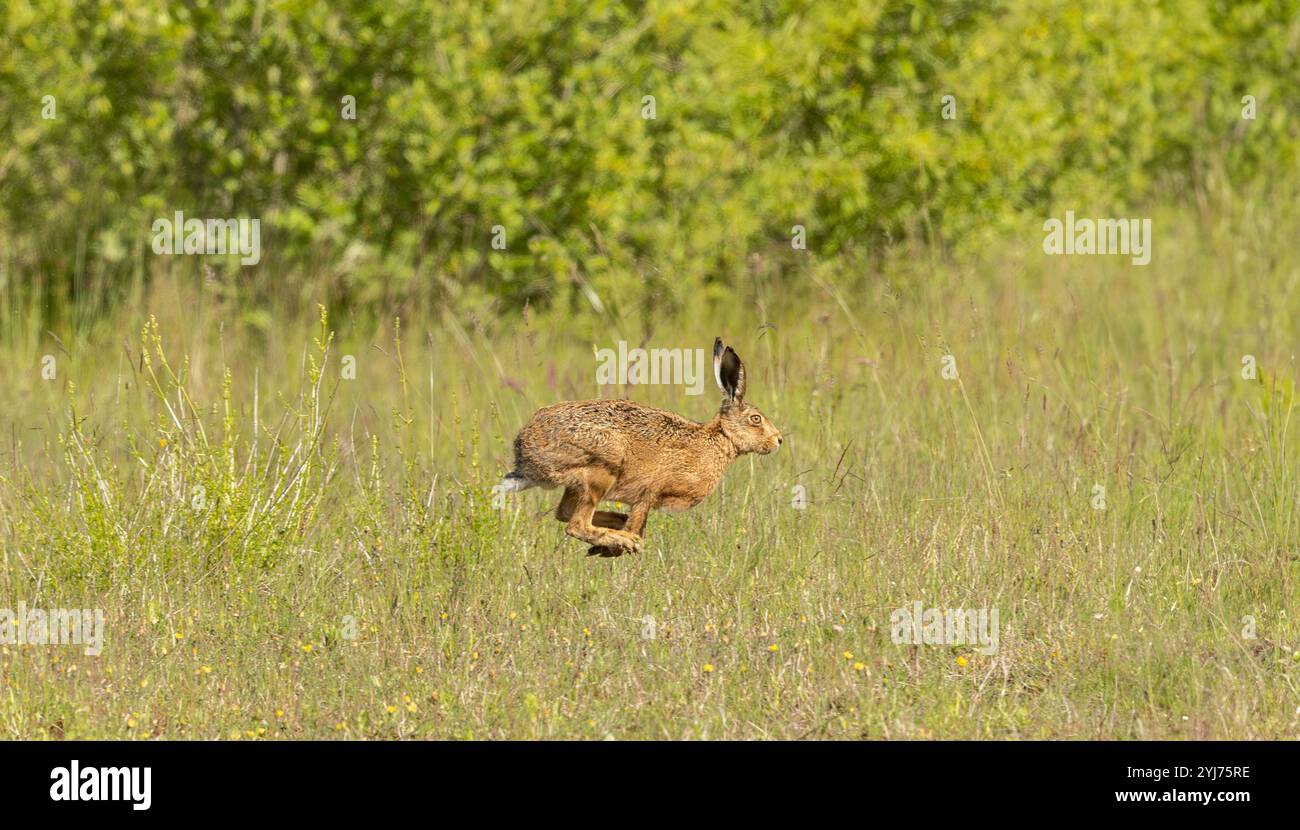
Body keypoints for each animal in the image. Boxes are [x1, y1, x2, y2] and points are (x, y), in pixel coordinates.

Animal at [501, 337, 782, 557]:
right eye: (755, 419)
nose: (778, 440)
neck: (720, 437)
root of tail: (525, 455)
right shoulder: (649, 493)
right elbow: (639, 523)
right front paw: (623, 546)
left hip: (579, 482)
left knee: (565, 513)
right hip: (602, 467)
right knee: (576, 524)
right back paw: (623, 540)